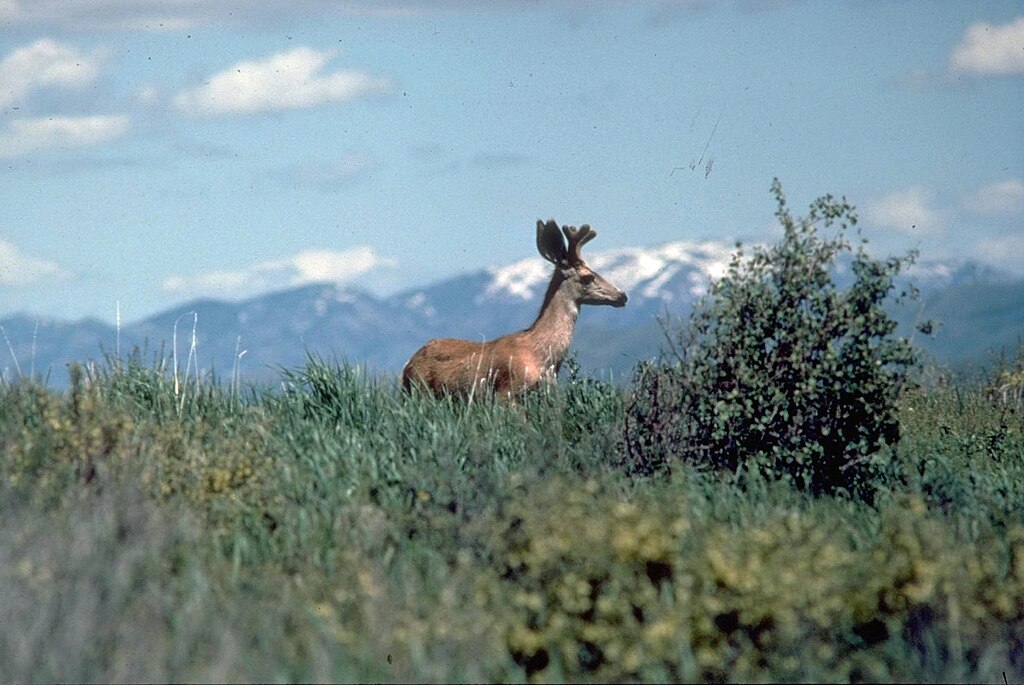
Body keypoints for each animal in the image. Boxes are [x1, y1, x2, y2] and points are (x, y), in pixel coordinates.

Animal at [402, 219, 628, 399]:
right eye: (588, 277)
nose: (622, 296)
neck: (541, 355)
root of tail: (408, 365)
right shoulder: (507, 390)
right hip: (420, 390)